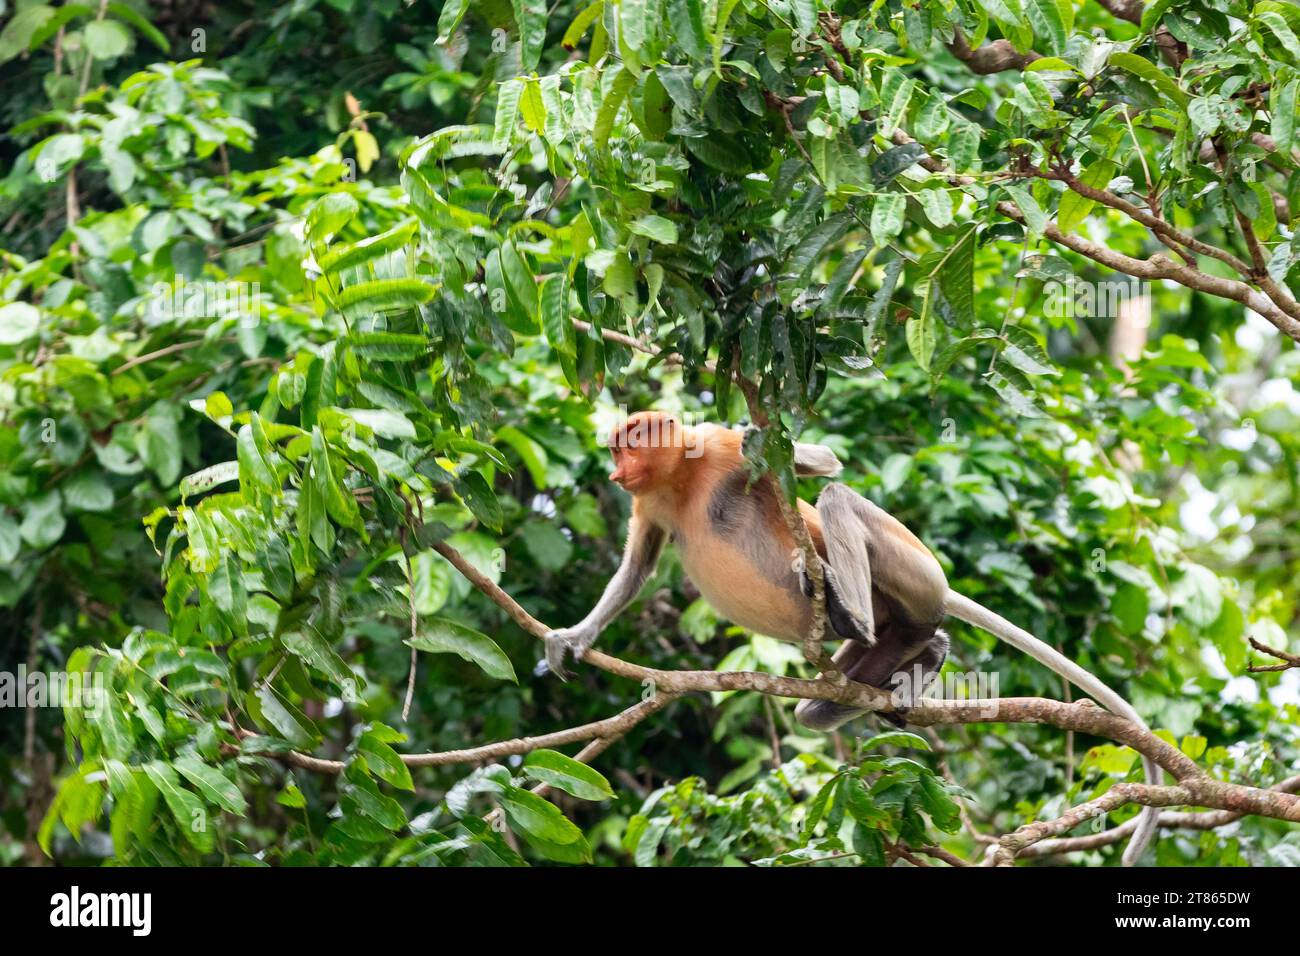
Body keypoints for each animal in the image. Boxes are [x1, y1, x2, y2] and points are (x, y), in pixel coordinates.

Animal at [543, 410, 1160, 866]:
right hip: (886, 640)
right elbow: (636, 569)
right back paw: (915, 665)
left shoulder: (712, 448)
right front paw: (570, 641)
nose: (615, 475)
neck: (682, 480)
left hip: (916, 570)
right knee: (819, 707)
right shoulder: (649, 503)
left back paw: (851, 612)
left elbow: (817, 462)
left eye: (628, 447)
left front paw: (757, 434)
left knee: (840, 497)